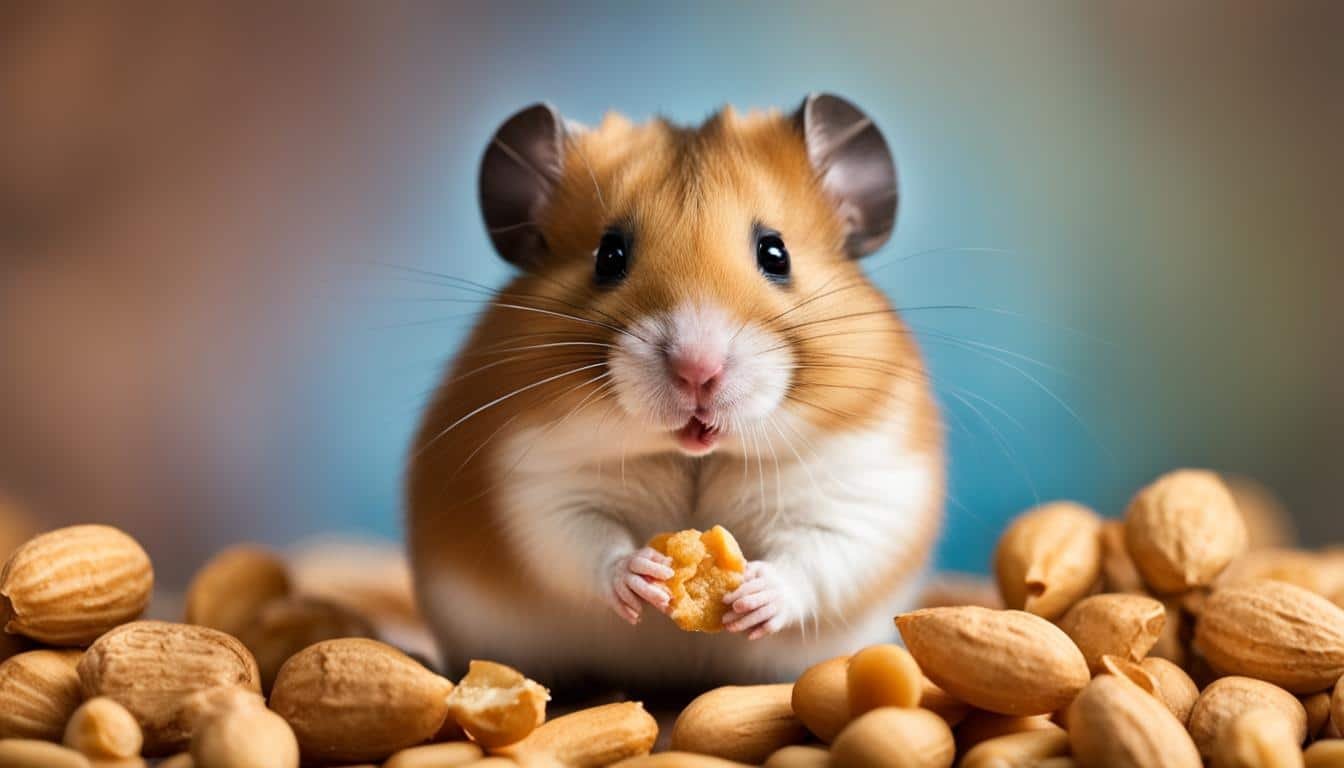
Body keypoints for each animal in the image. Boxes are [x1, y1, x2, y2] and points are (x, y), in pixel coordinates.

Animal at [407, 93, 944, 689]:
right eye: (609, 256)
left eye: (775, 253)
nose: (697, 370)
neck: (693, 457)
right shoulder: (538, 487)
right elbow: (585, 542)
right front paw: (644, 573)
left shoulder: (856, 489)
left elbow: (815, 556)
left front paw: (753, 595)